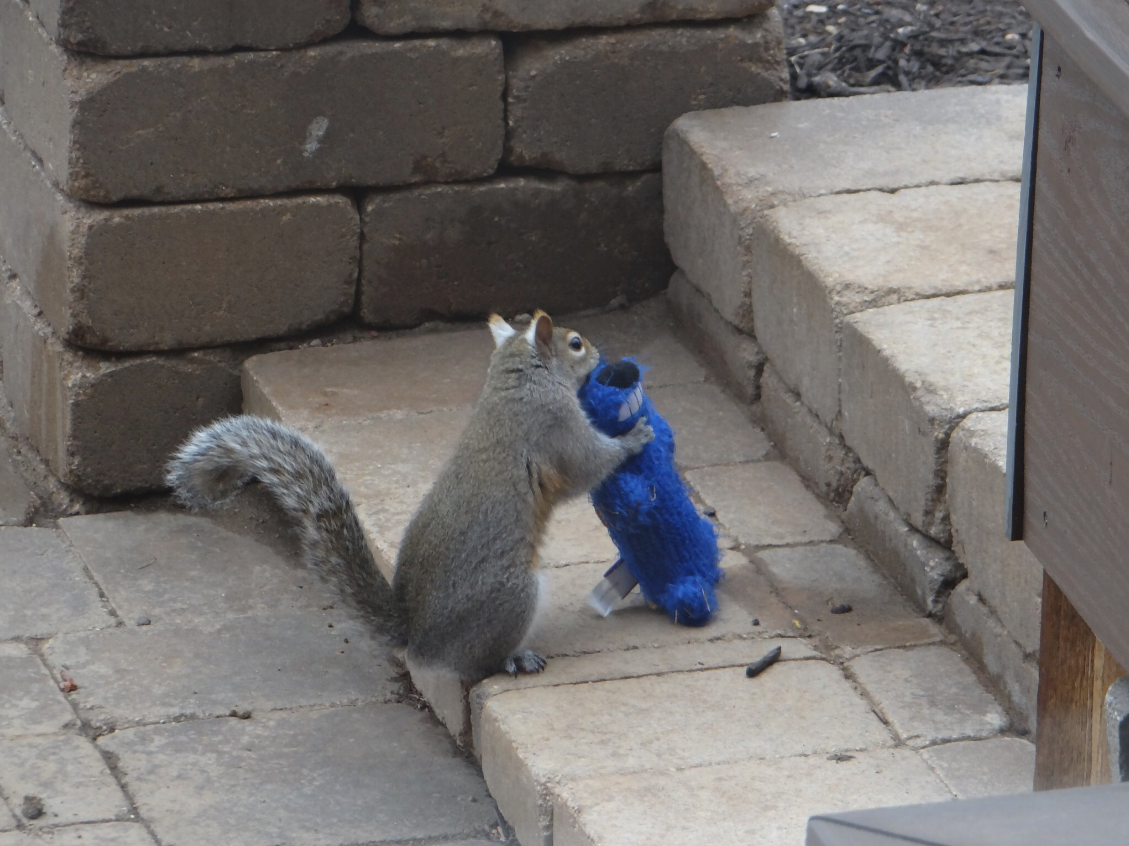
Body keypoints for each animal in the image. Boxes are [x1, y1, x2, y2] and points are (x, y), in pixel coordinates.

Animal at [166, 310, 654, 683]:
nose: (600, 355)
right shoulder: (555, 427)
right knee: (477, 665)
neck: (519, 379)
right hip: (513, 596)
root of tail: (416, 635)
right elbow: (587, 464)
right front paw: (635, 438)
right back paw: (515, 659)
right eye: (575, 343)